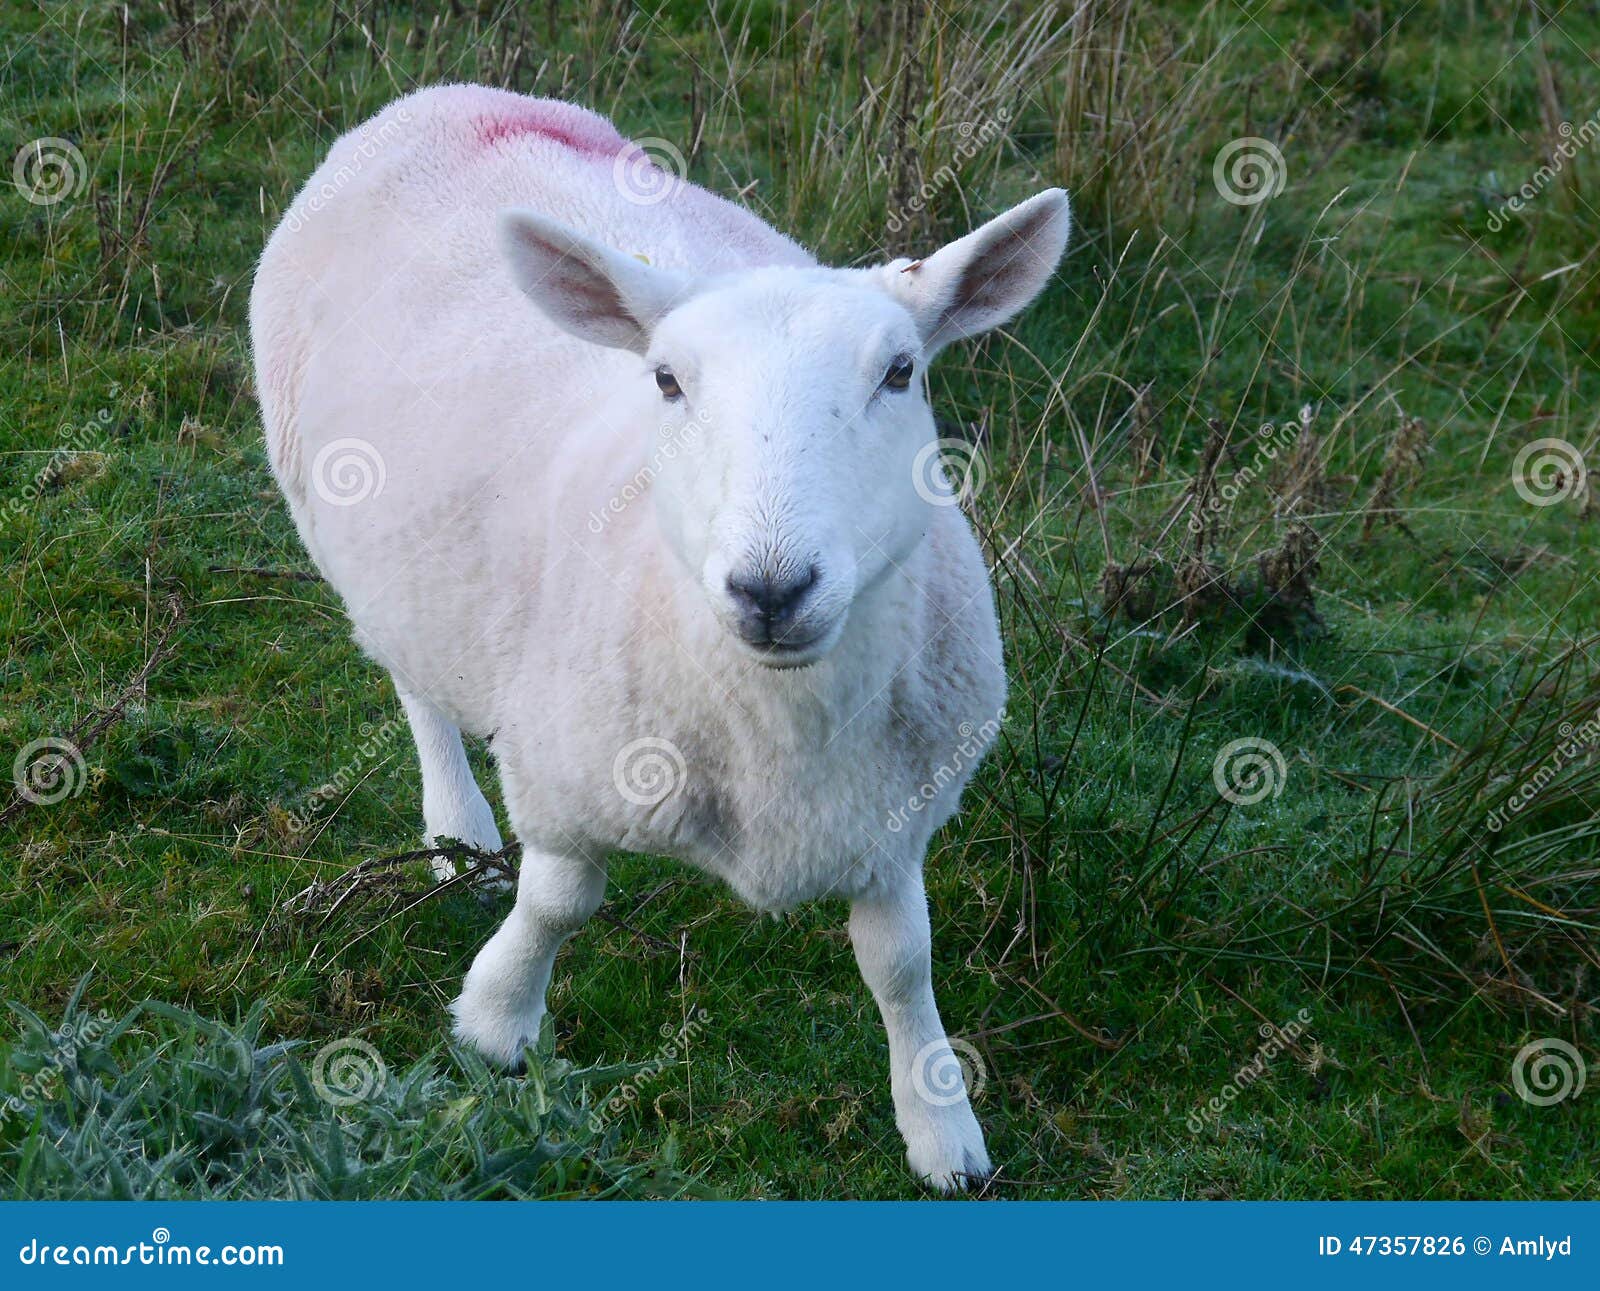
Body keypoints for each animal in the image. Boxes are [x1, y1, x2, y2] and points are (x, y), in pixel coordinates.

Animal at [250, 84, 1070, 1192]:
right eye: (669, 381)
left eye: (900, 372)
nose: (772, 587)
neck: (777, 725)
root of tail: (458, 98)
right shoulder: (566, 774)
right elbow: (560, 901)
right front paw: (496, 1019)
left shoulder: (893, 818)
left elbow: (902, 961)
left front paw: (941, 1124)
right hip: (358, 541)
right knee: (416, 684)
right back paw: (460, 831)